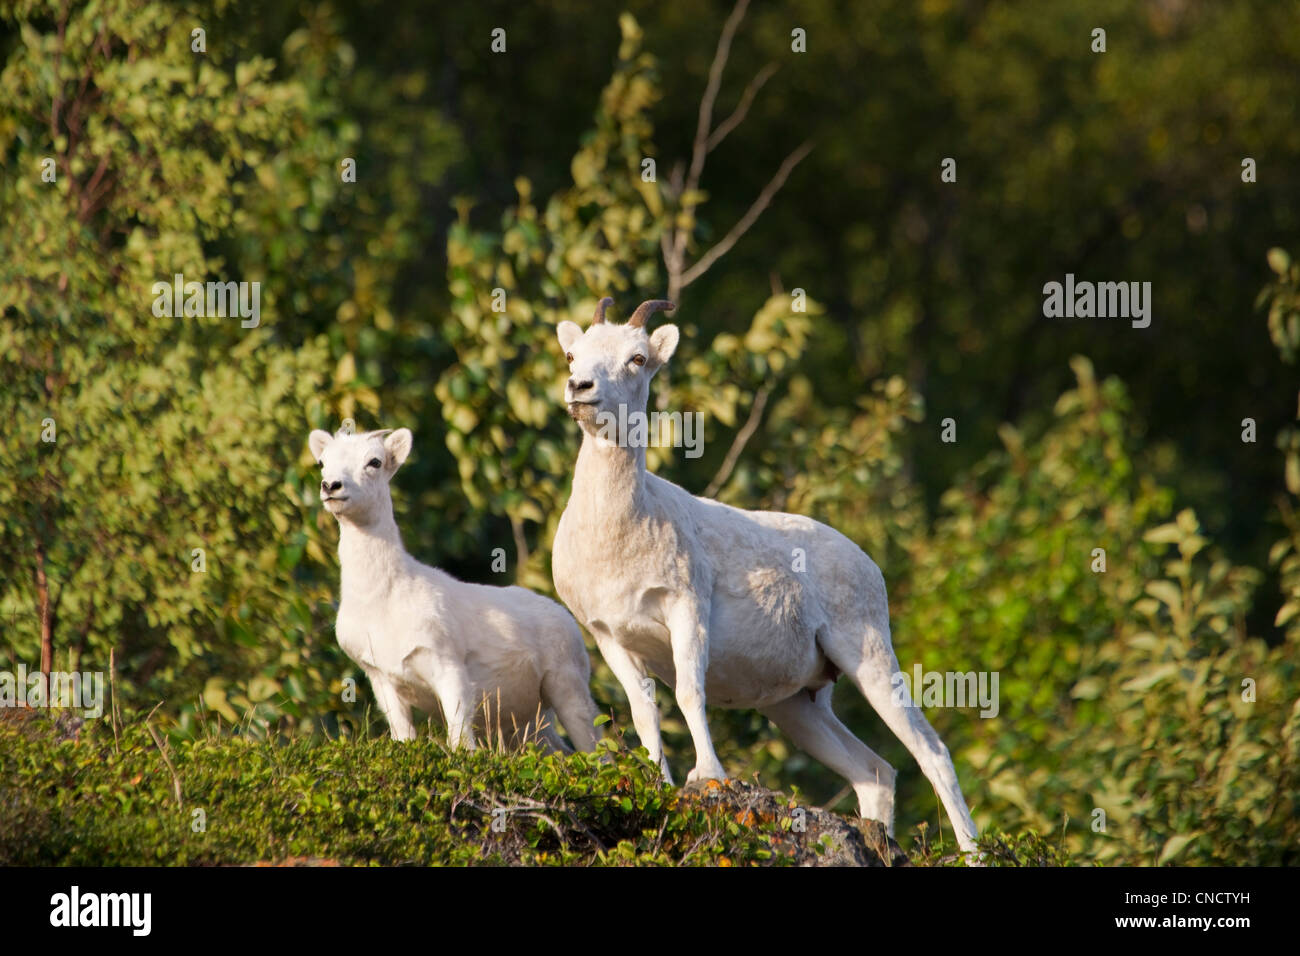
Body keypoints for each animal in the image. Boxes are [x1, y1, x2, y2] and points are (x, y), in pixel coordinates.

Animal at [308, 426, 599, 753]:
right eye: (322, 462)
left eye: (374, 462)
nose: (331, 486)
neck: (382, 602)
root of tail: (568, 619)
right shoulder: (384, 683)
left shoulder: (449, 670)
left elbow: (460, 741)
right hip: (528, 724)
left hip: (568, 690)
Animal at [550, 297, 980, 853]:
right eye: (572, 354)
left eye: (638, 358)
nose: (580, 388)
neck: (619, 533)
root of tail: (867, 564)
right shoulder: (611, 638)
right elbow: (645, 713)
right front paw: (659, 784)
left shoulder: (687, 611)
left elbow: (689, 693)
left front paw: (707, 776)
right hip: (799, 707)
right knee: (874, 771)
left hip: (867, 656)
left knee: (932, 752)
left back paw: (974, 852)